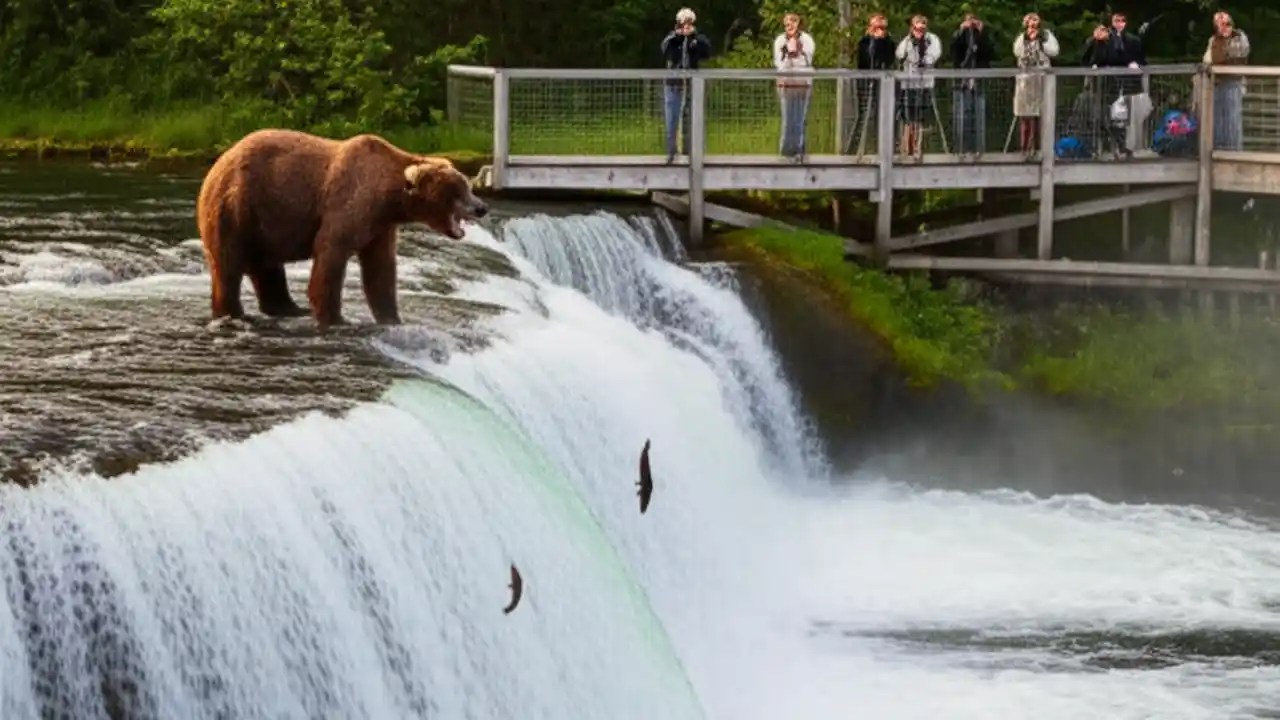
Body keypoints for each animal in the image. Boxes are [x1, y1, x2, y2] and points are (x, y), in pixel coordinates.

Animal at [196, 128, 488, 331]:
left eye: (467, 186)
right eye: (457, 191)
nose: (481, 207)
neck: (389, 198)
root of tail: (218, 163)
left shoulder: (380, 227)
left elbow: (380, 269)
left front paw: (391, 317)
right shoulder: (349, 202)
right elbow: (331, 254)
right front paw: (336, 318)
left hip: (263, 222)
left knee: (267, 268)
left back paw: (289, 309)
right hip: (236, 207)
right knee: (228, 266)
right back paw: (233, 314)